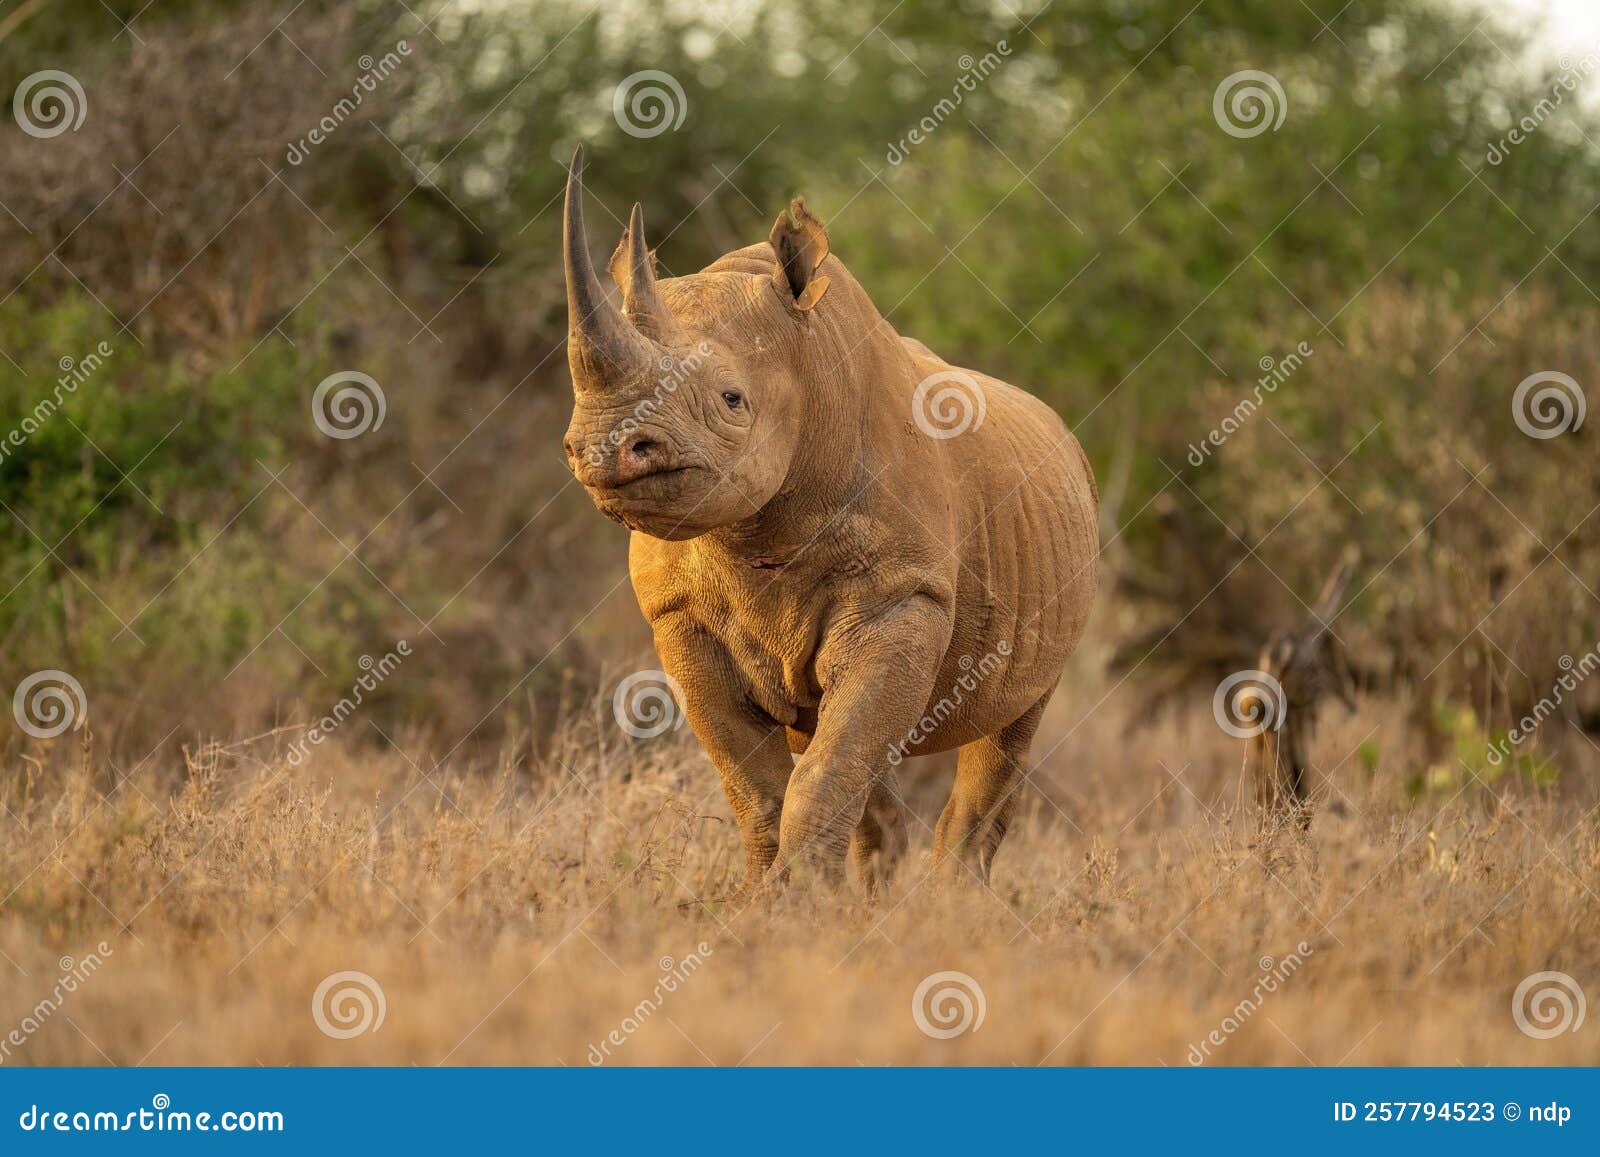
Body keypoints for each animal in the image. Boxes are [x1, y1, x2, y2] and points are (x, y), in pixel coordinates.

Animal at [560, 146, 1099, 892]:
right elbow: (758, 787)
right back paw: (873, 900)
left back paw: (955, 902)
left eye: (732, 399)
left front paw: (798, 902)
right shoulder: (679, 615)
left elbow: (825, 771)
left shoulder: (903, 594)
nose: (604, 448)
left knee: (1007, 728)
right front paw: (771, 901)